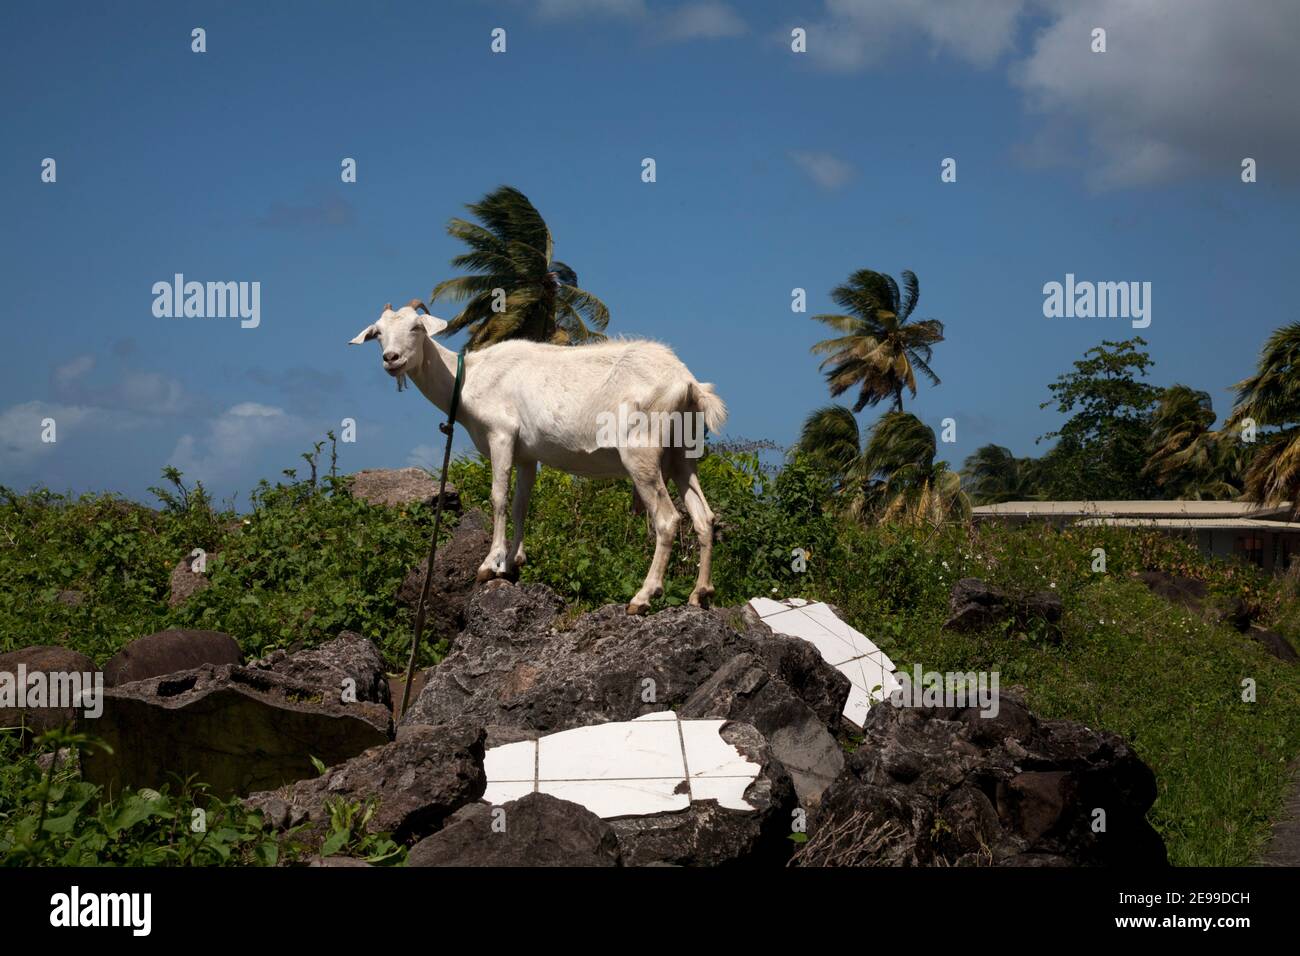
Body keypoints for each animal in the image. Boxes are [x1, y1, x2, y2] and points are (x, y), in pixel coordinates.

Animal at [350, 301, 727, 614]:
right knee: (703, 517)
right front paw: (512, 564)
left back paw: (643, 597)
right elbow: (521, 504)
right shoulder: (526, 455)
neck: (469, 378)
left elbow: (498, 497)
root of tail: (689, 383)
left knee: (667, 519)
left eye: (417, 327)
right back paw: (700, 594)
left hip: (642, 451)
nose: (392, 359)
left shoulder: (501, 434)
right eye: (378, 333)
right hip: (682, 453)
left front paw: (489, 565)